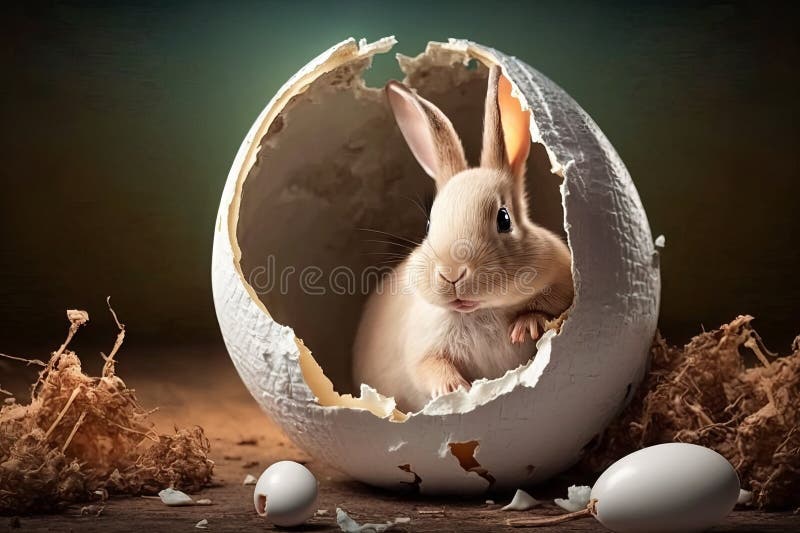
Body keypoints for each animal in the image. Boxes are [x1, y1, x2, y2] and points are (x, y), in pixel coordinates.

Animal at [352, 65, 574, 413]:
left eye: (504, 219)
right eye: (429, 224)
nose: (452, 274)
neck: (480, 310)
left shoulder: (563, 281)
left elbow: (550, 306)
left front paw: (525, 326)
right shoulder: (423, 348)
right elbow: (428, 367)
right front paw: (454, 387)